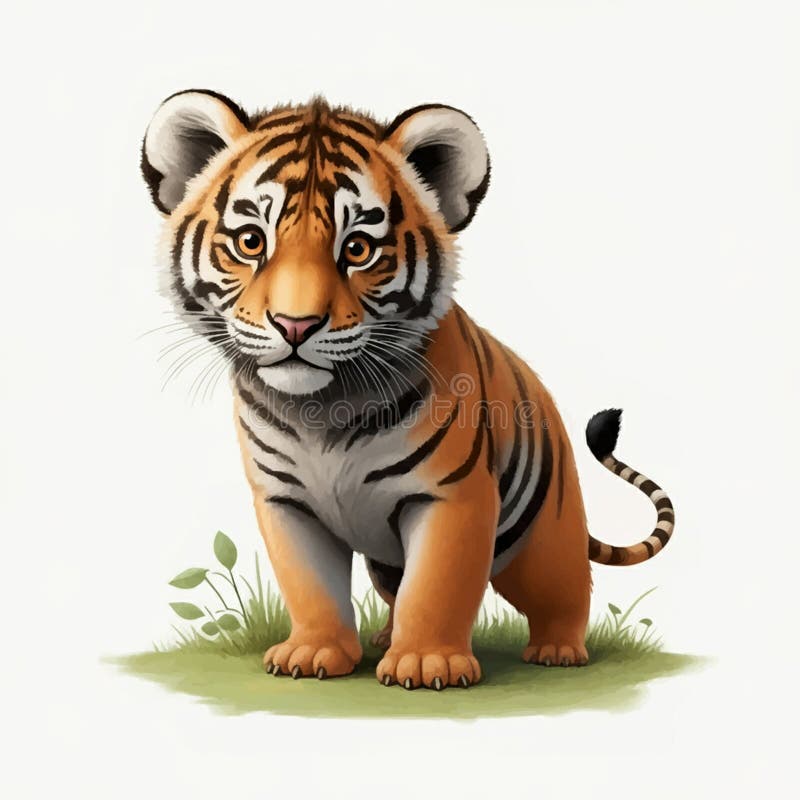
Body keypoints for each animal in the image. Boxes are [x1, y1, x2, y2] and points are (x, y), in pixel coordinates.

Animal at [142, 90, 675, 690]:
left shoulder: (452, 495)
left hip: (546, 540)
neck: (320, 410)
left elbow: (438, 585)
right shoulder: (284, 502)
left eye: (357, 249)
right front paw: (314, 653)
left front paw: (425, 663)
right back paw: (383, 638)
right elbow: (310, 585)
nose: (295, 325)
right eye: (251, 241)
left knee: (563, 590)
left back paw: (558, 650)